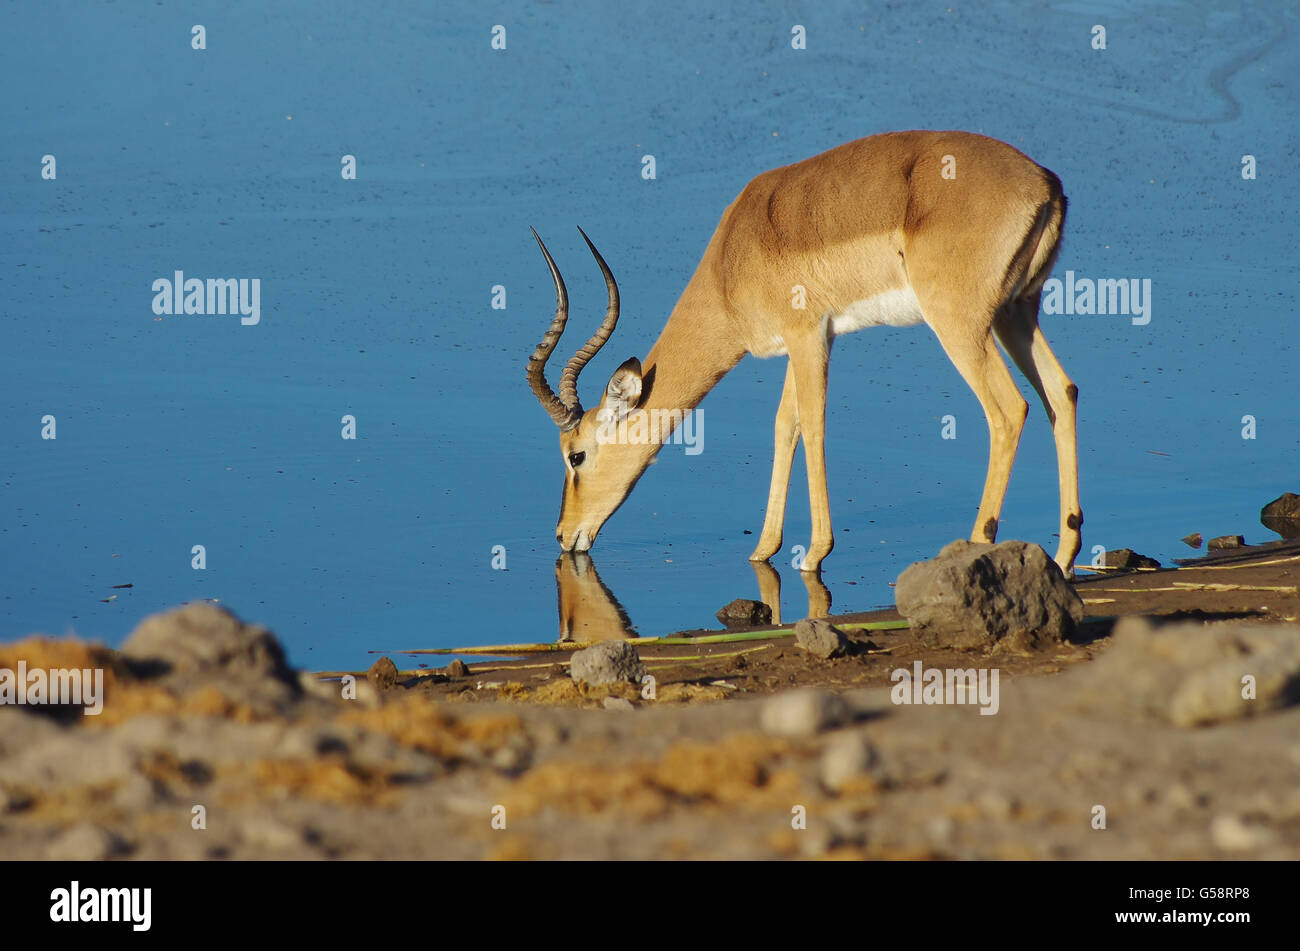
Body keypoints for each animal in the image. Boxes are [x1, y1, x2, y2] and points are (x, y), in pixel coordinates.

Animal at [527, 130, 1081, 578]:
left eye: (576, 455)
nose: (563, 536)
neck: (731, 262)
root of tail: (1045, 183)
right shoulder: (807, 342)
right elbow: (783, 425)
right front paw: (763, 549)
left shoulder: (807, 334)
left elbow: (812, 425)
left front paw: (814, 553)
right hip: (1015, 314)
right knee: (1061, 392)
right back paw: (1066, 554)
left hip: (961, 324)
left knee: (1009, 409)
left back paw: (979, 543)